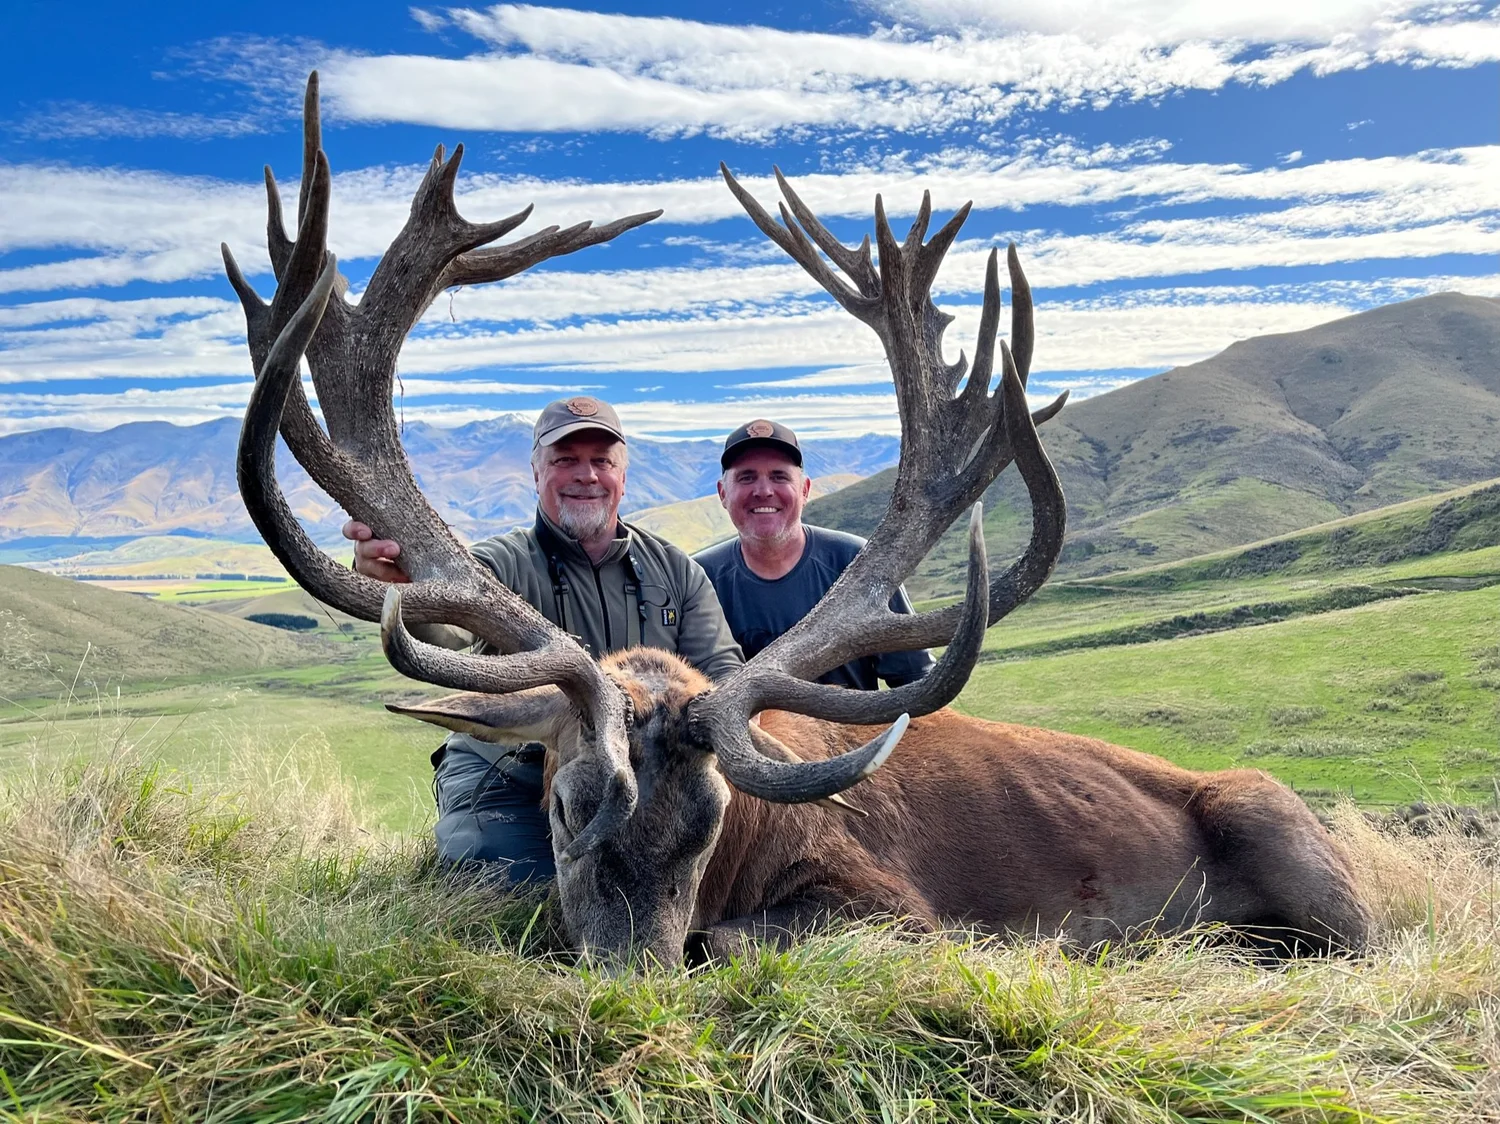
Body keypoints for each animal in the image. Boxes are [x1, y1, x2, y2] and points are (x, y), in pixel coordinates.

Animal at [227, 73, 1371, 967]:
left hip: (1301, 852)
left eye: (713, 822)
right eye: (561, 802)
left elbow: (734, 939)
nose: (626, 976)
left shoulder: (901, 912)